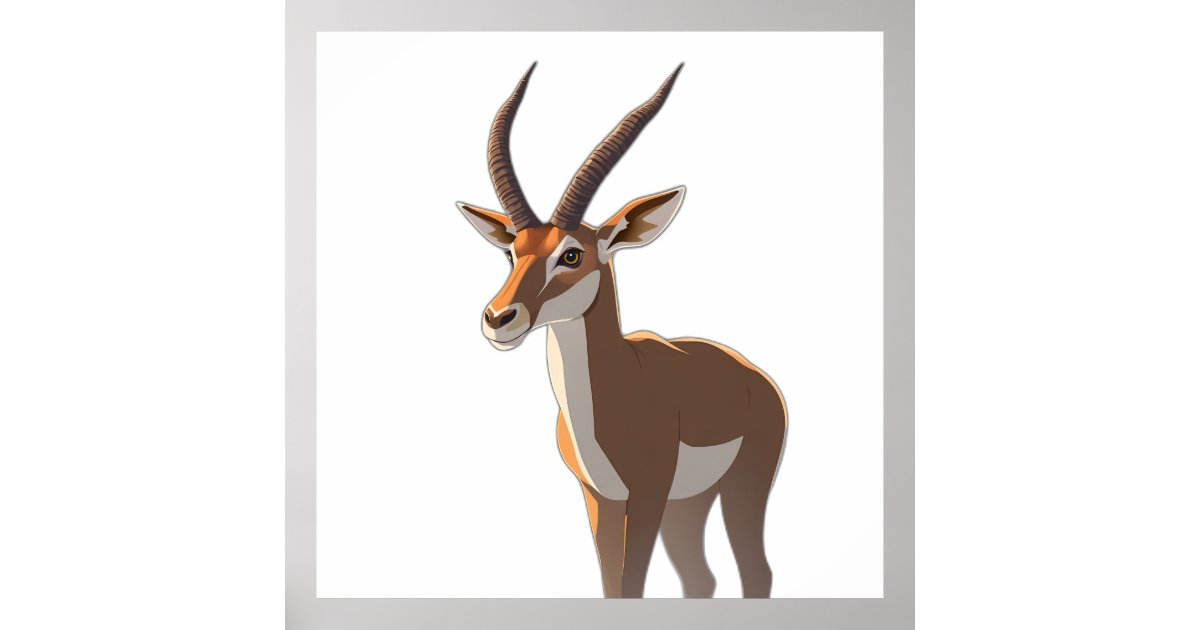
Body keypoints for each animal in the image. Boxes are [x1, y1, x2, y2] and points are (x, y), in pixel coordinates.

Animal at [456, 63, 787, 598]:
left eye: (572, 254)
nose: (499, 318)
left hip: (743, 484)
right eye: (511, 253)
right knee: (700, 578)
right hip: (688, 502)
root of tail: (755, 376)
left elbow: (633, 583)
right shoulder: (600, 498)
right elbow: (613, 585)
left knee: (756, 571)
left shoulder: (647, 492)